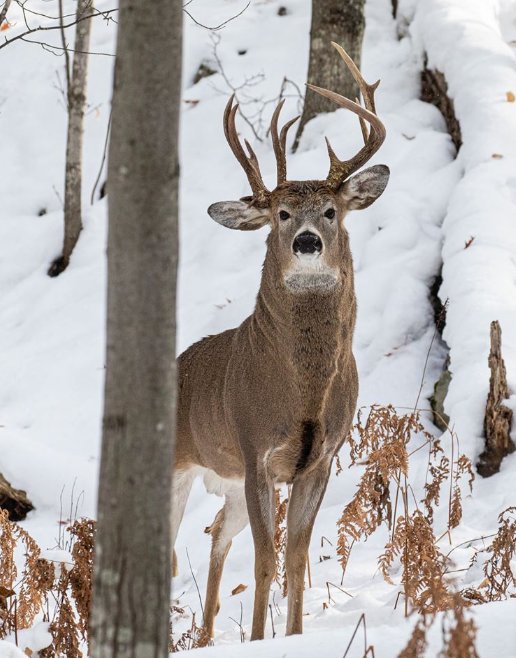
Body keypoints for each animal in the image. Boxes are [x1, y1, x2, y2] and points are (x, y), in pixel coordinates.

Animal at [172, 43, 389, 641]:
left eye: (331, 211)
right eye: (282, 213)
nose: (307, 242)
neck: (303, 395)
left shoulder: (321, 459)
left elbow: (295, 556)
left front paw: (292, 636)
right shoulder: (255, 453)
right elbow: (266, 560)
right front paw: (257, 640)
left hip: (227, 484)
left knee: (217, 535)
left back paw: (205, 638)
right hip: (178, 464)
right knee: (169, 549)